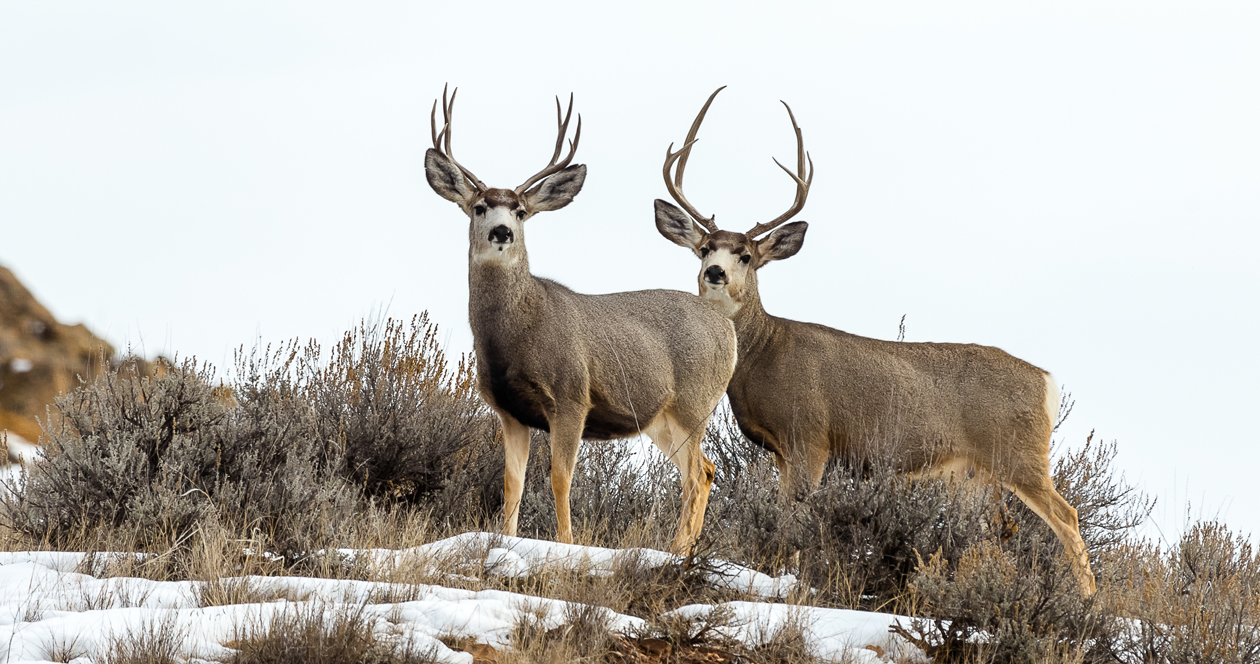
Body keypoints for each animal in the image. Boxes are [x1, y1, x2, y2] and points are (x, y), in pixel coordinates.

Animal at [422, 87, 738, 553]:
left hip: (693, 404)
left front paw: (567, 544)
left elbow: (559, 477)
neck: (515, 335)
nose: (502, 232)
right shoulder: (509, 410)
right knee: (705, 469)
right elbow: (512, 483)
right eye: (479, 207)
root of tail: (728, 329)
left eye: (520, 211)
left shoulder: (571, 396)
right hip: (661, 420)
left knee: (698, 473)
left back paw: (678, 552)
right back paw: (683, 549)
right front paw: (506, 541)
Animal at [652, 87, 1097, 595]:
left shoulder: (810, 435)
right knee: (991, 533)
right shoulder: (783, 450)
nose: (715, 272)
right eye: (706, 248)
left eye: (746, 255)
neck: (765, 350)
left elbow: (793, 520)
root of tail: (1047, 381)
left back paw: (1088, 602)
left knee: (1066, 516)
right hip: (974, 474)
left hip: (1021, 453)